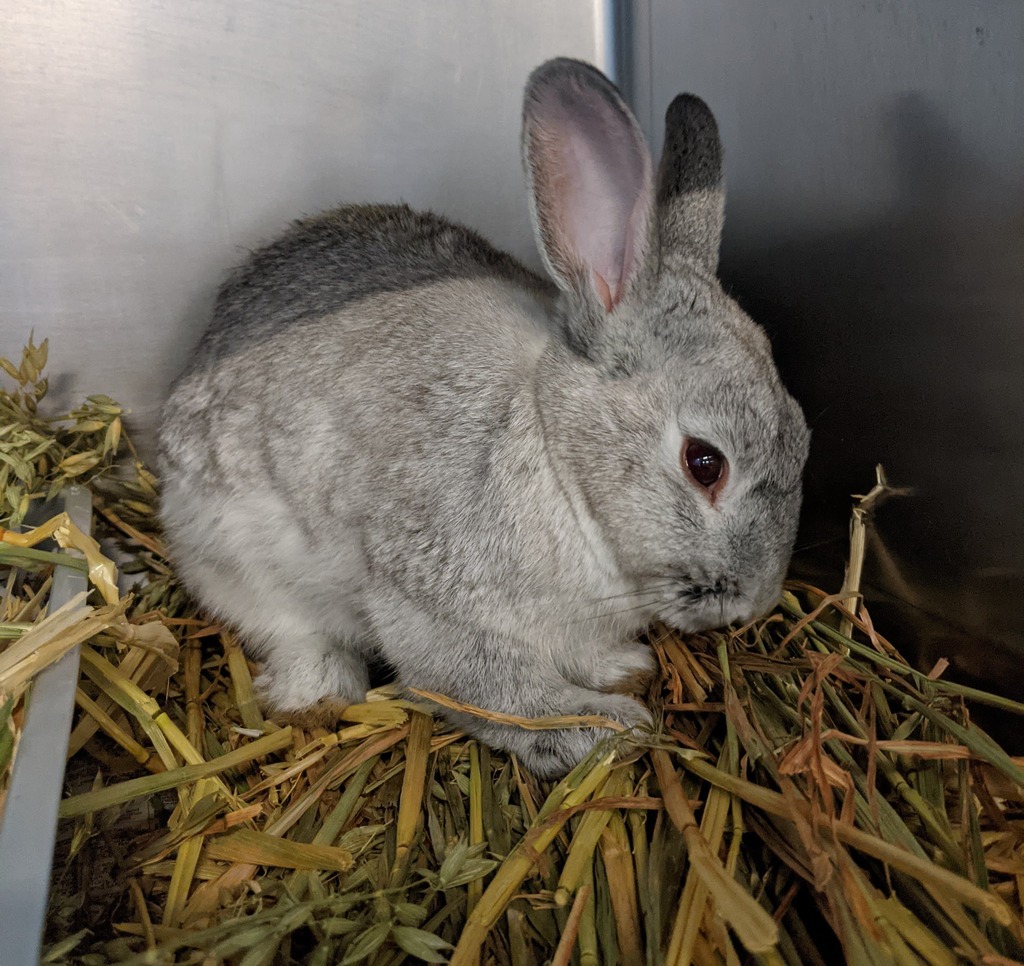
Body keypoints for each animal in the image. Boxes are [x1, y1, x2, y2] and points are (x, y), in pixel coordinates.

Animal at [158, 58, 809, 779]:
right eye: (704, 463)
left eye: (804, 433)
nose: (757, 599)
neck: (560, 458)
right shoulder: (434, 603)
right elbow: (496, 689)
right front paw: (605, 729)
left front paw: (624, 669)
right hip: (234, 556)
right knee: (288, 628)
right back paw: (319, 691)